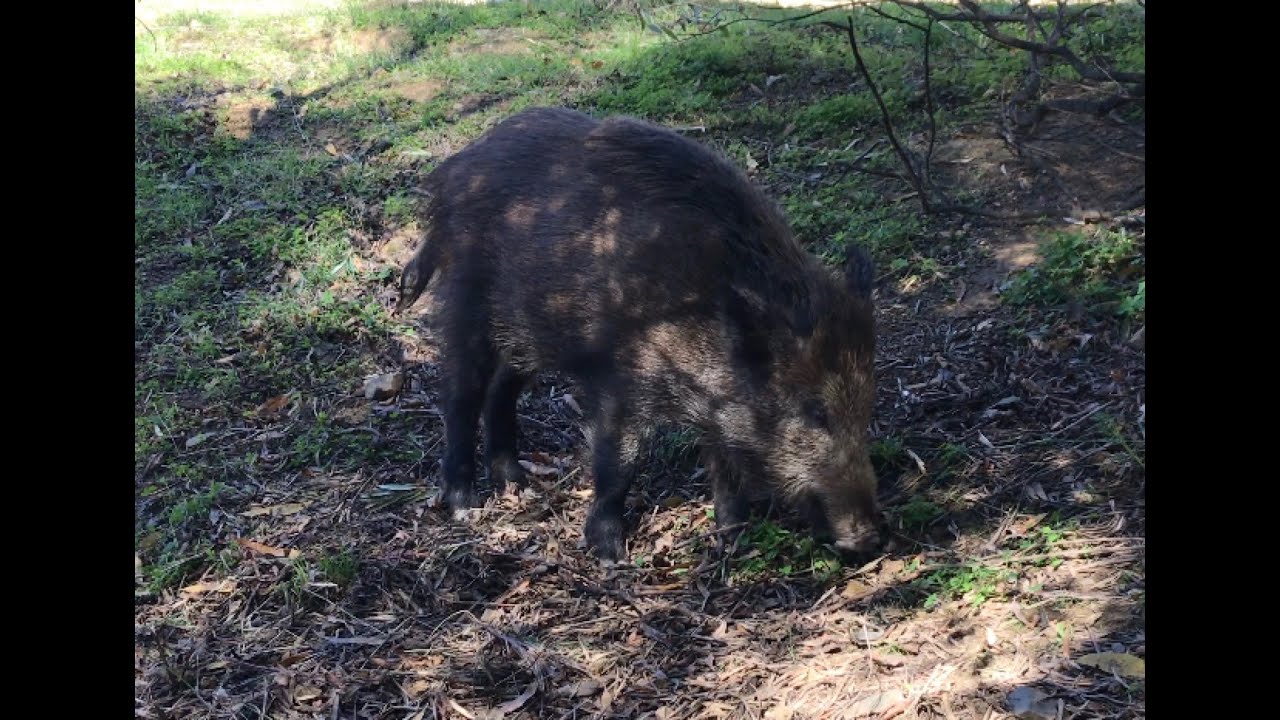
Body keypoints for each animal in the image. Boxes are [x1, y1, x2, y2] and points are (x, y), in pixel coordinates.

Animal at [397, 107, 881, 562]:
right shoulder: (622, 380)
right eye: (814, 412)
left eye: (866, 406)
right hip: (465, 304)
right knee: (459, 396)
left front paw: (732, 540)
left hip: (528, 331)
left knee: (501, 389)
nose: (870, 539)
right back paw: (465, 504)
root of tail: (453, 170)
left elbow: (725, 467)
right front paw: (611, 554)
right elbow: (620, 463)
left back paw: (519, 484)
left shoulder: (716, 405)